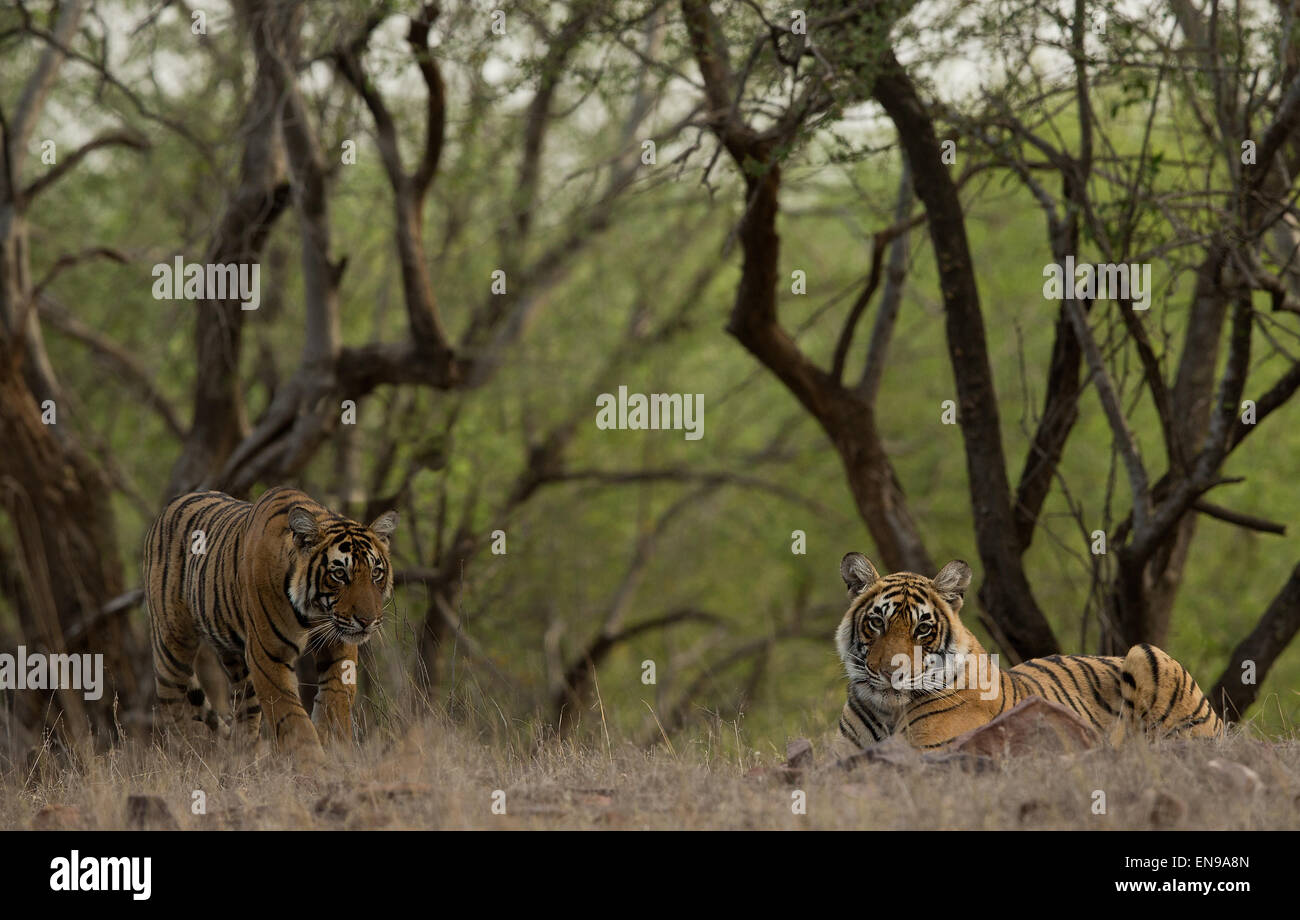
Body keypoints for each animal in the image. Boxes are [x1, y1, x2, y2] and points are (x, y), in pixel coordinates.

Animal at [143, 486, 397, 763]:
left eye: (375, 573)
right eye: (339, 574)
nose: (367, 621)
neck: (313, 611)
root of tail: (171, 505)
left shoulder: (338, 643)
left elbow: (335, 702)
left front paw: (337, 750)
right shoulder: (268, 657)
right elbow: (293, 719)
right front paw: (314, 765)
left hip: (237, 664)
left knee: (244, 716)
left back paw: (248, 764)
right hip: (172, 649)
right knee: (175, 713)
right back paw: (185, 760)